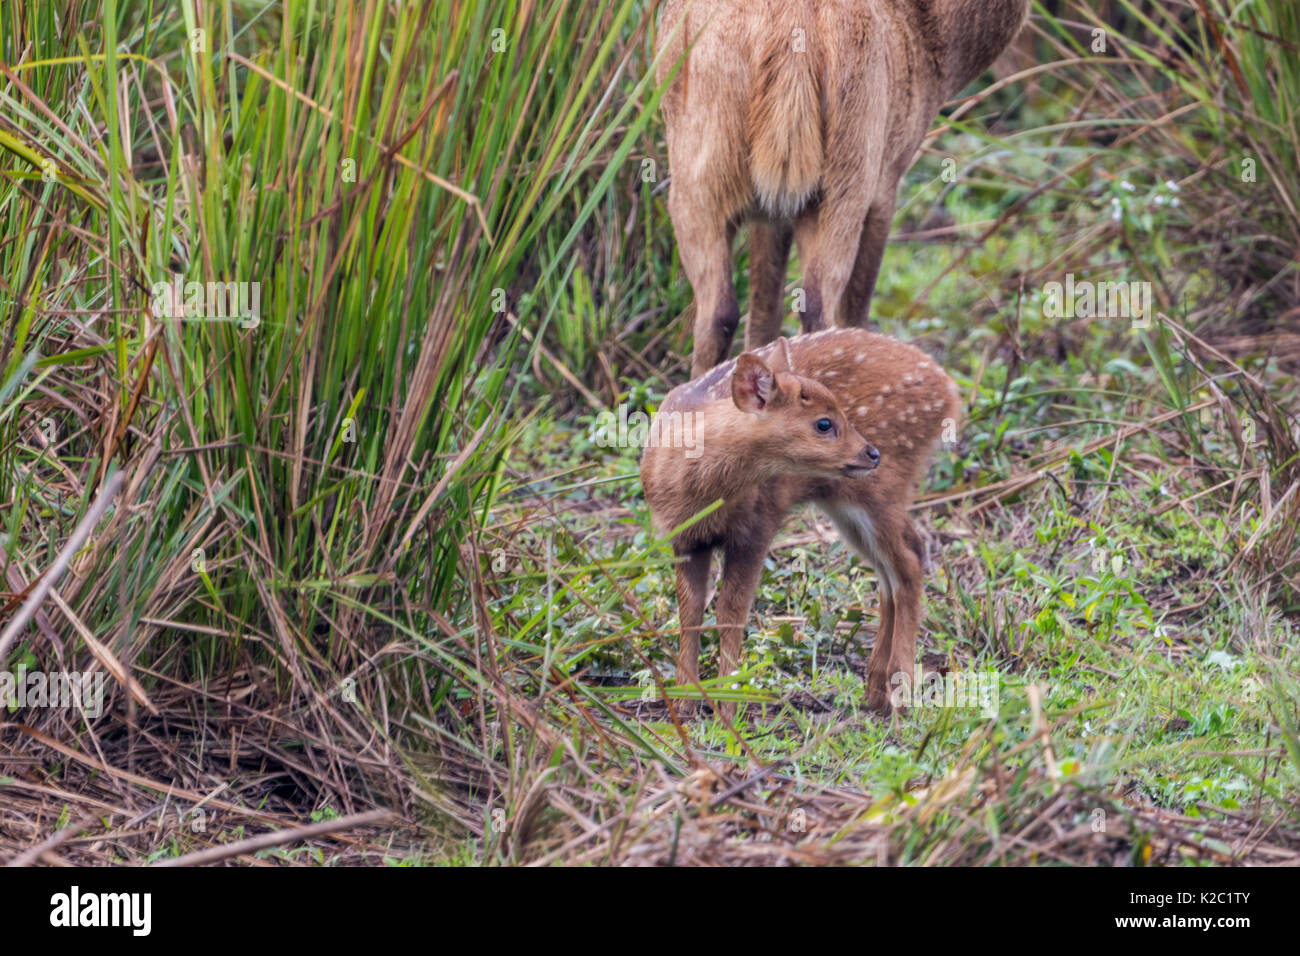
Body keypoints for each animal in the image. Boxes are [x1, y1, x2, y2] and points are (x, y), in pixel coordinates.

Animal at [639, 327, 960, 719]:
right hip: (846, 501)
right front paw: (684, 701)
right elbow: (690, 608)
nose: (872, 453)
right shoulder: (682, 536)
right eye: (824, 423)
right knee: (890, 570)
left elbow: (731, 609)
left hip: (881, 486)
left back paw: (900, 690)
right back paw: (875, 692)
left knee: (910, 558)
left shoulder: (756, 525)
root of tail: (948, 389)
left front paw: (727, 706)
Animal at [656, 0, 1031, 377]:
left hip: (706, 178)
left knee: (721, 314)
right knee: (817, 310)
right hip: (846, 177)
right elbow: (856, 305)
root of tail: (792, 32)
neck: (932, 45)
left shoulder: (773, 212)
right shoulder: (887, 179)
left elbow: (764, 311)